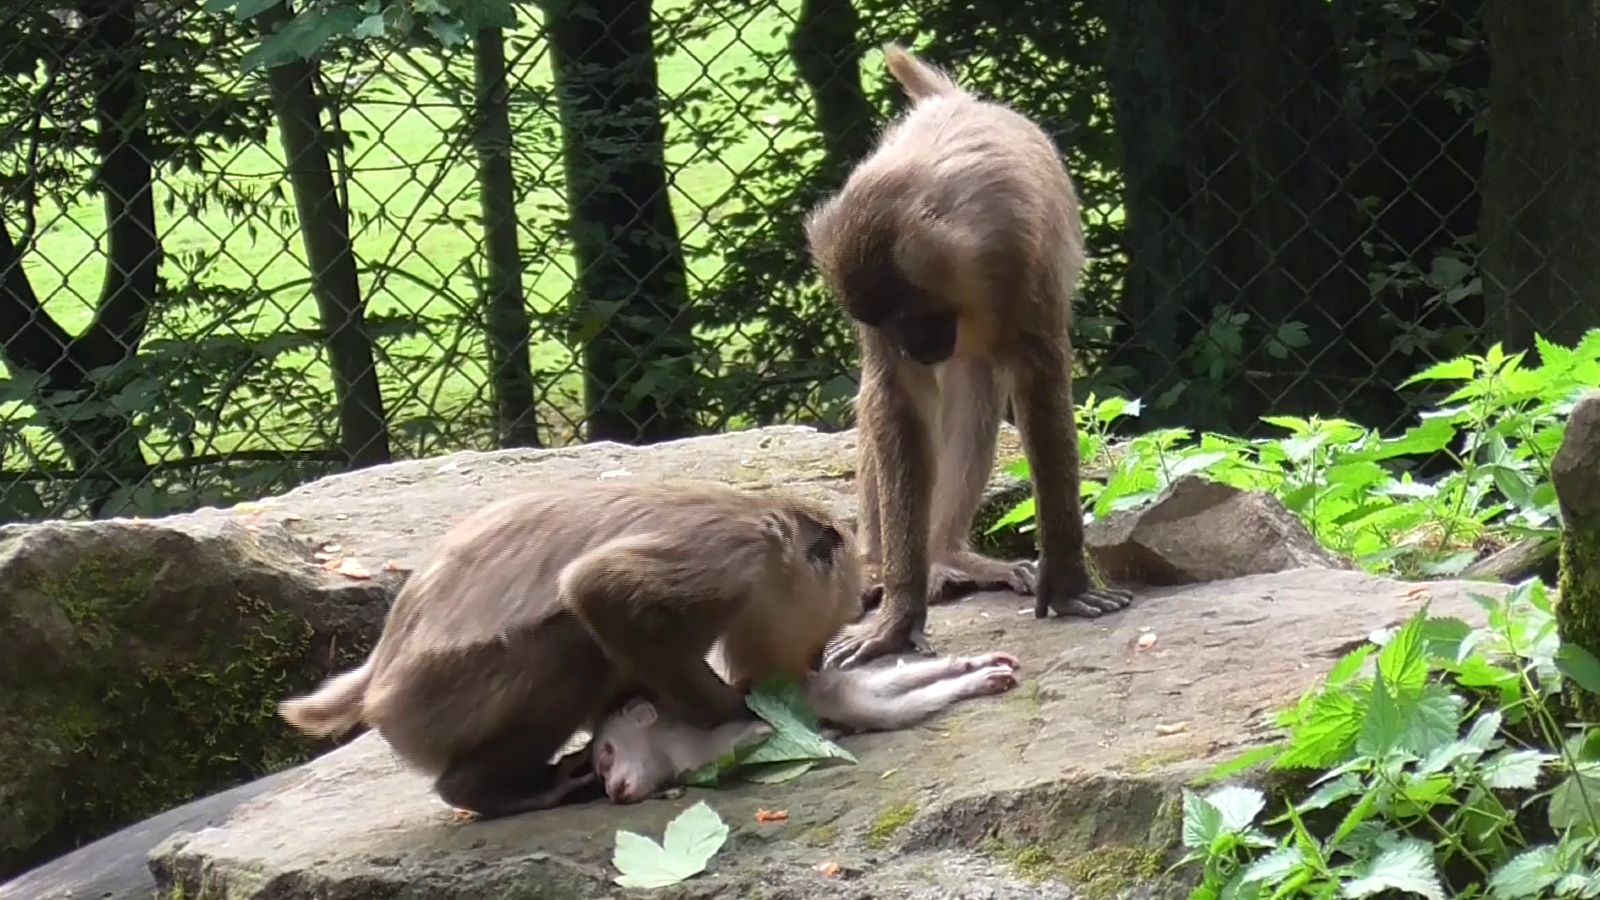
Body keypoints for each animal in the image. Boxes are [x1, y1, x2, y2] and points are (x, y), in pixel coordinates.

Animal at [276, 480, 864, 819]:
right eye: (820, 635)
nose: (812, 663)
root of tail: (376, 680)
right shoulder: (736, 553)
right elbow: (598, 589)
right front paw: (737, 713)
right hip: (434, 702)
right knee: (573, 643)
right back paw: (483, 789)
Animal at [591, 651, 1022, 804]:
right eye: (600, 771)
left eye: (607, 755)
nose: (611, 789)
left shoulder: (691, 748)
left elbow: (752, 741)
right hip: (833, 685)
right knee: (884, 689)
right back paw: (966, 666)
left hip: (828, 691)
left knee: (886, 712)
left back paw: (969, 682)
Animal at [803, 42, 1134, 669]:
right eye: (888, 323)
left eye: (912, 314)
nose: (916, 346)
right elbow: (896, 402)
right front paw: (900, 612)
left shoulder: (1018, 254)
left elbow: (1038, 379)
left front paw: (1068, 582)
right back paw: (890, 567)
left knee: (978, 391)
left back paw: (948, 555)